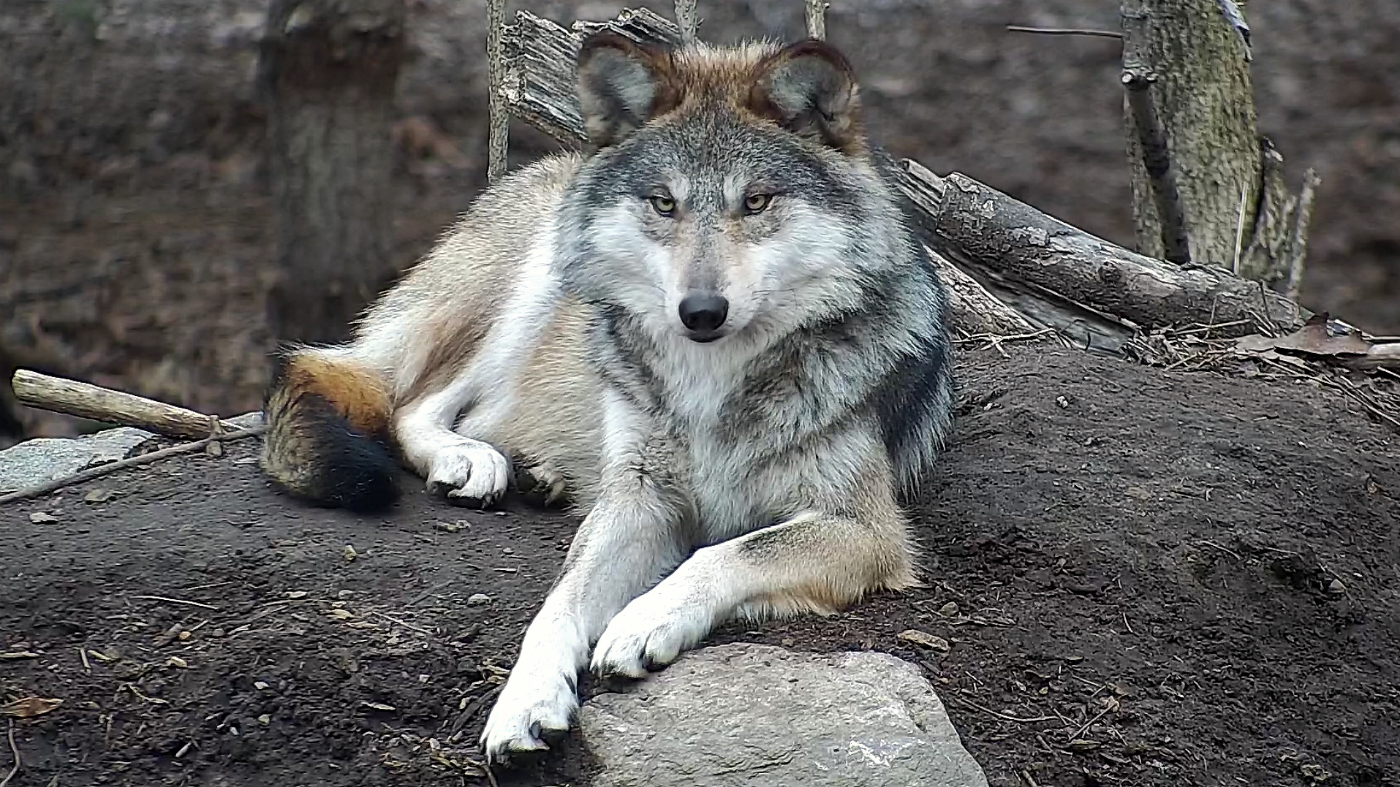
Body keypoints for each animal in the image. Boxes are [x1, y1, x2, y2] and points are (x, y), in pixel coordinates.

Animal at [257, 30, 955, 764]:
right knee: (410, 402)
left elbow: (728, 550)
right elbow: (557, 604)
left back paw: (539, 472)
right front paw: (526, 700)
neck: (711, 382)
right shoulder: (641, 501)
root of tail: (547, 165)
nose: (699, 311)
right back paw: (471, 461)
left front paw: (640, 621)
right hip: (544, 284)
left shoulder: (868, 532)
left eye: (757, 202)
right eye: (665, 203)